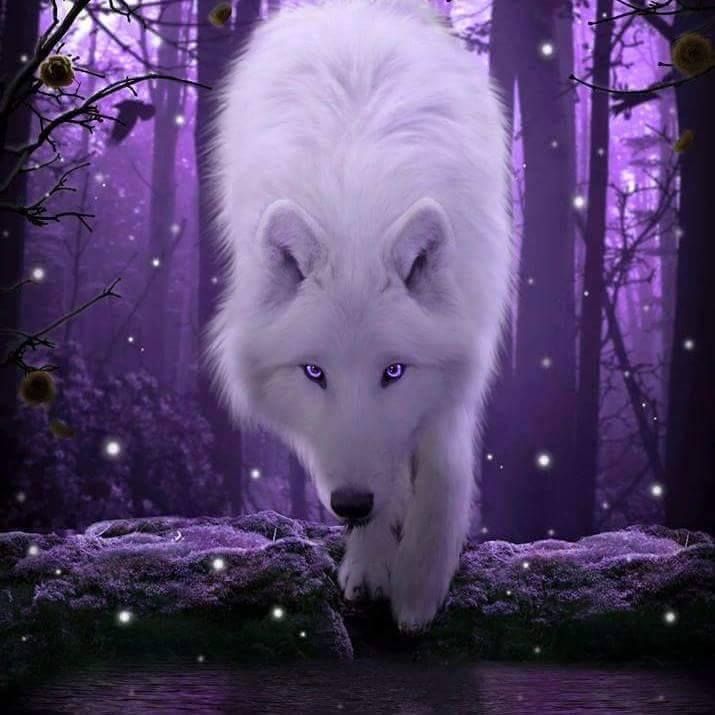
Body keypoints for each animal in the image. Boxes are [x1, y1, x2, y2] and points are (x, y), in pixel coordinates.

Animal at [207, 0, 516, 632]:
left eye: (393, 372)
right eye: (314, 373)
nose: (350, 503)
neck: (356, 219)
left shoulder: (462, 351)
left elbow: (442, 465)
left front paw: (420, 583)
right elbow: (384, 471)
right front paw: (374, 563)